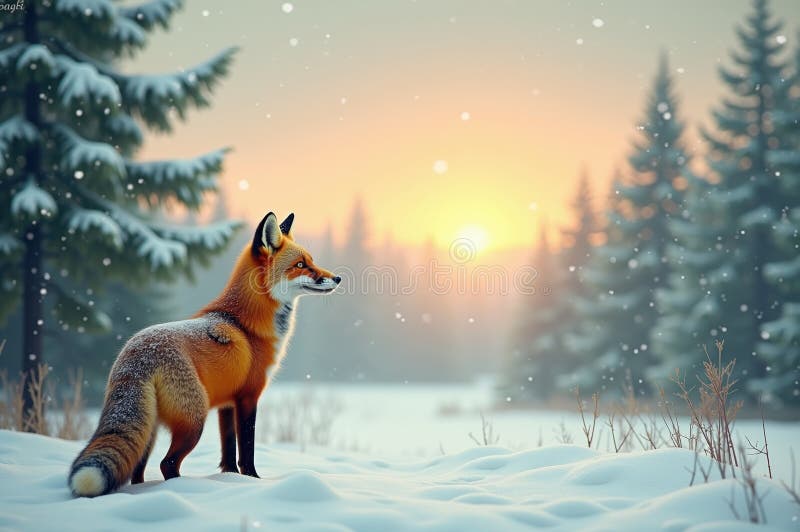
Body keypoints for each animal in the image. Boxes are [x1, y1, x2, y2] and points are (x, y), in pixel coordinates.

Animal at [68, 212, 341, 497]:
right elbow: (247, 451)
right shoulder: (249, 396)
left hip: (148, 431)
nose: (337, 278)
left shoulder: (227, 403)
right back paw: (183, 489)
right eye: (301, 265)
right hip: (194, 422)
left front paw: (231, 480)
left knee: (137, 470)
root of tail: (137, 355)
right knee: (168, 464)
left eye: (312, 261)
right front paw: (252, 482)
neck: (245, 324)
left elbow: (229, 452)